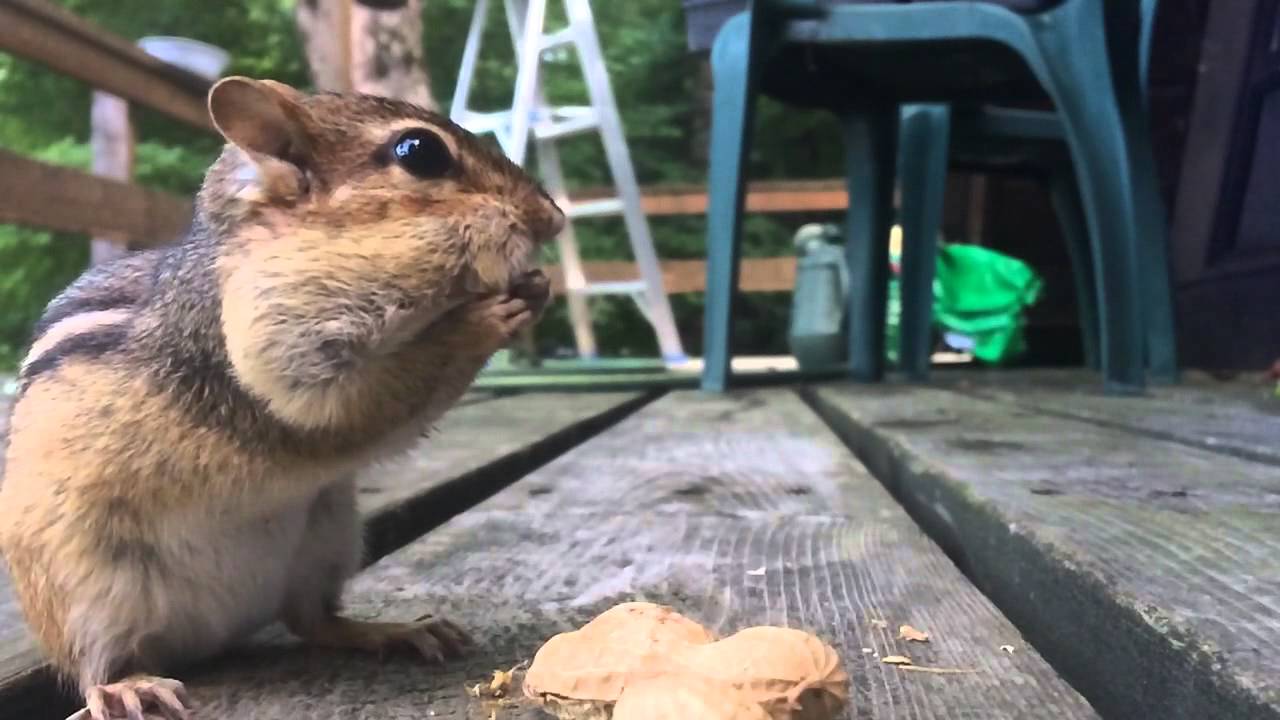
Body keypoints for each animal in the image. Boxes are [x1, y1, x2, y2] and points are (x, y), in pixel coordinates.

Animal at [0, 76, 564, 720]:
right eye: (419, 152)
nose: (552, 218)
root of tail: (210, 636)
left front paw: (534, 287)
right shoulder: (278, 357)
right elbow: (359, 400)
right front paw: (486, 317)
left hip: (326, 537)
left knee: (312, 621)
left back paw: (395, 631)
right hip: (82, 590)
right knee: (91, 663)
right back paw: (123, 685)